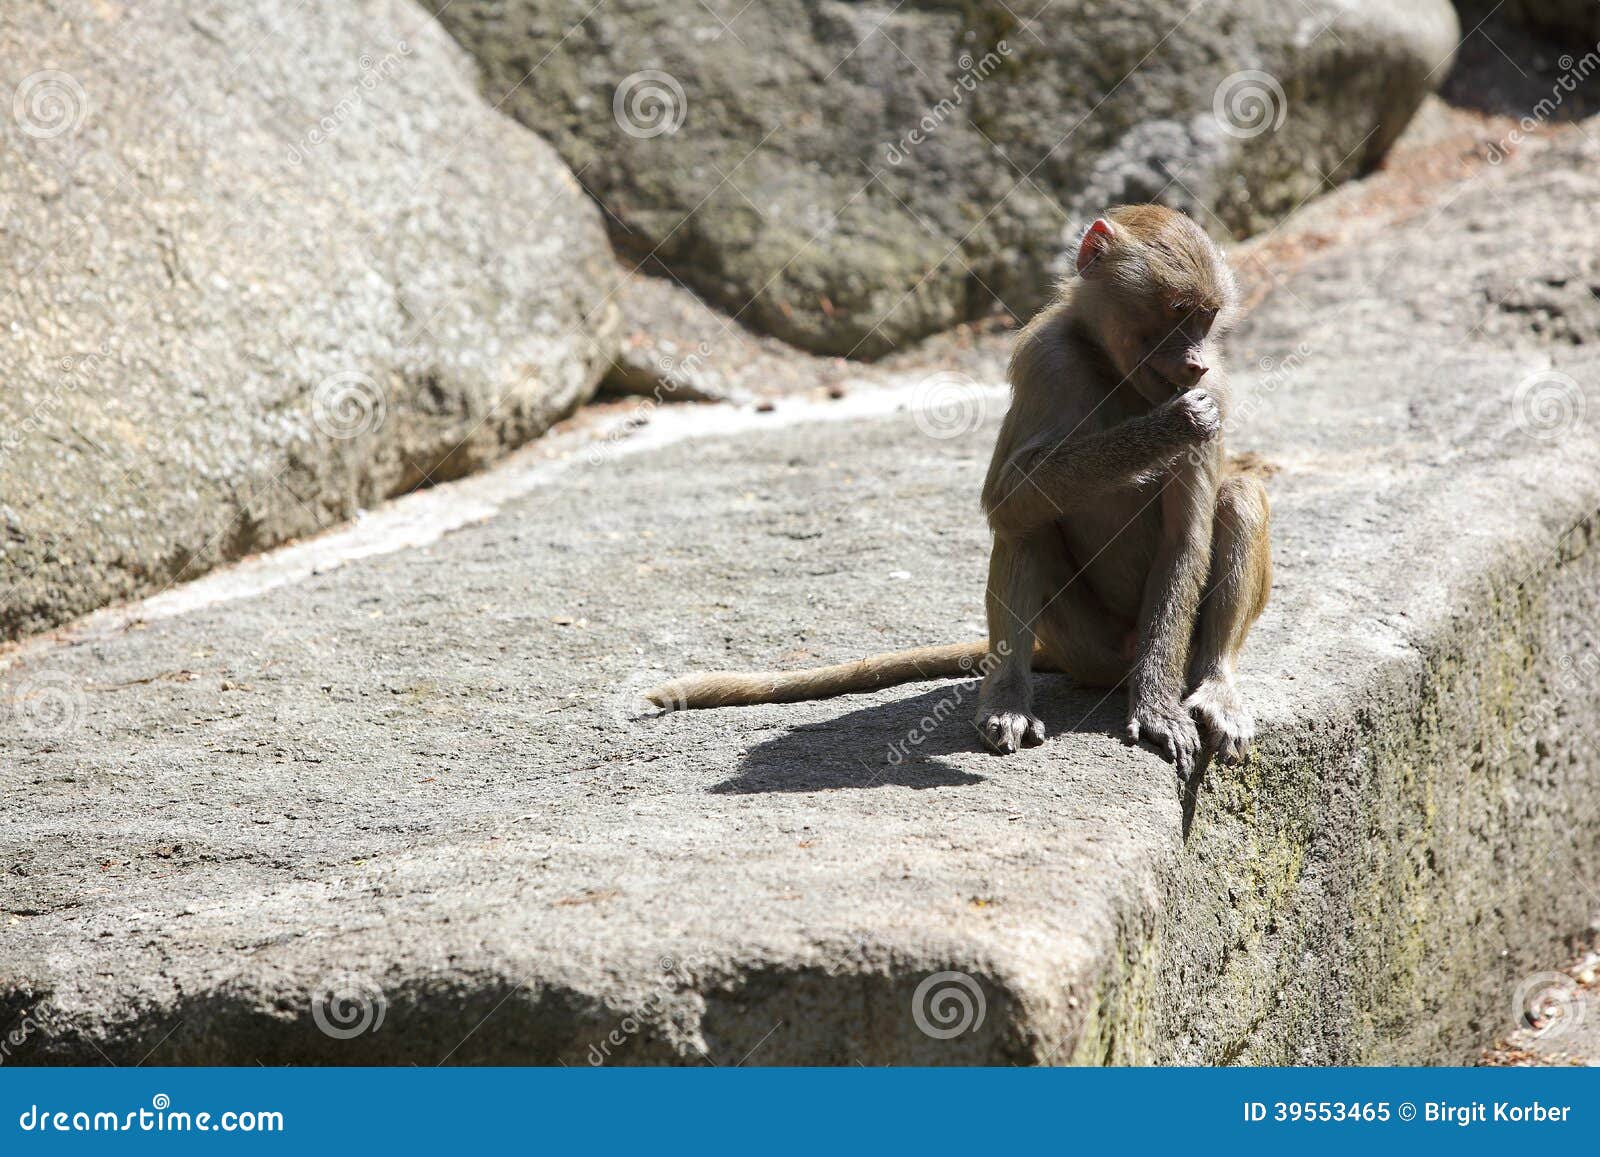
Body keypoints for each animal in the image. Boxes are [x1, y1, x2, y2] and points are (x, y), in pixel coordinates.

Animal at [644, 204, 1271, 773]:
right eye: (1177, 313)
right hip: (1085, 645)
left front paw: (1159, 709)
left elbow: (1184, 540)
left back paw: (1213, 688)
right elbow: (1007, 496)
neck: (1112, 371)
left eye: (1207, 318)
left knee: (1239, 496)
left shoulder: (1220, 389)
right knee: (1025, 521)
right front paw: (1166, 429)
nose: (1194, 364)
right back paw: (1007, 703)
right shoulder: (1046, 359)